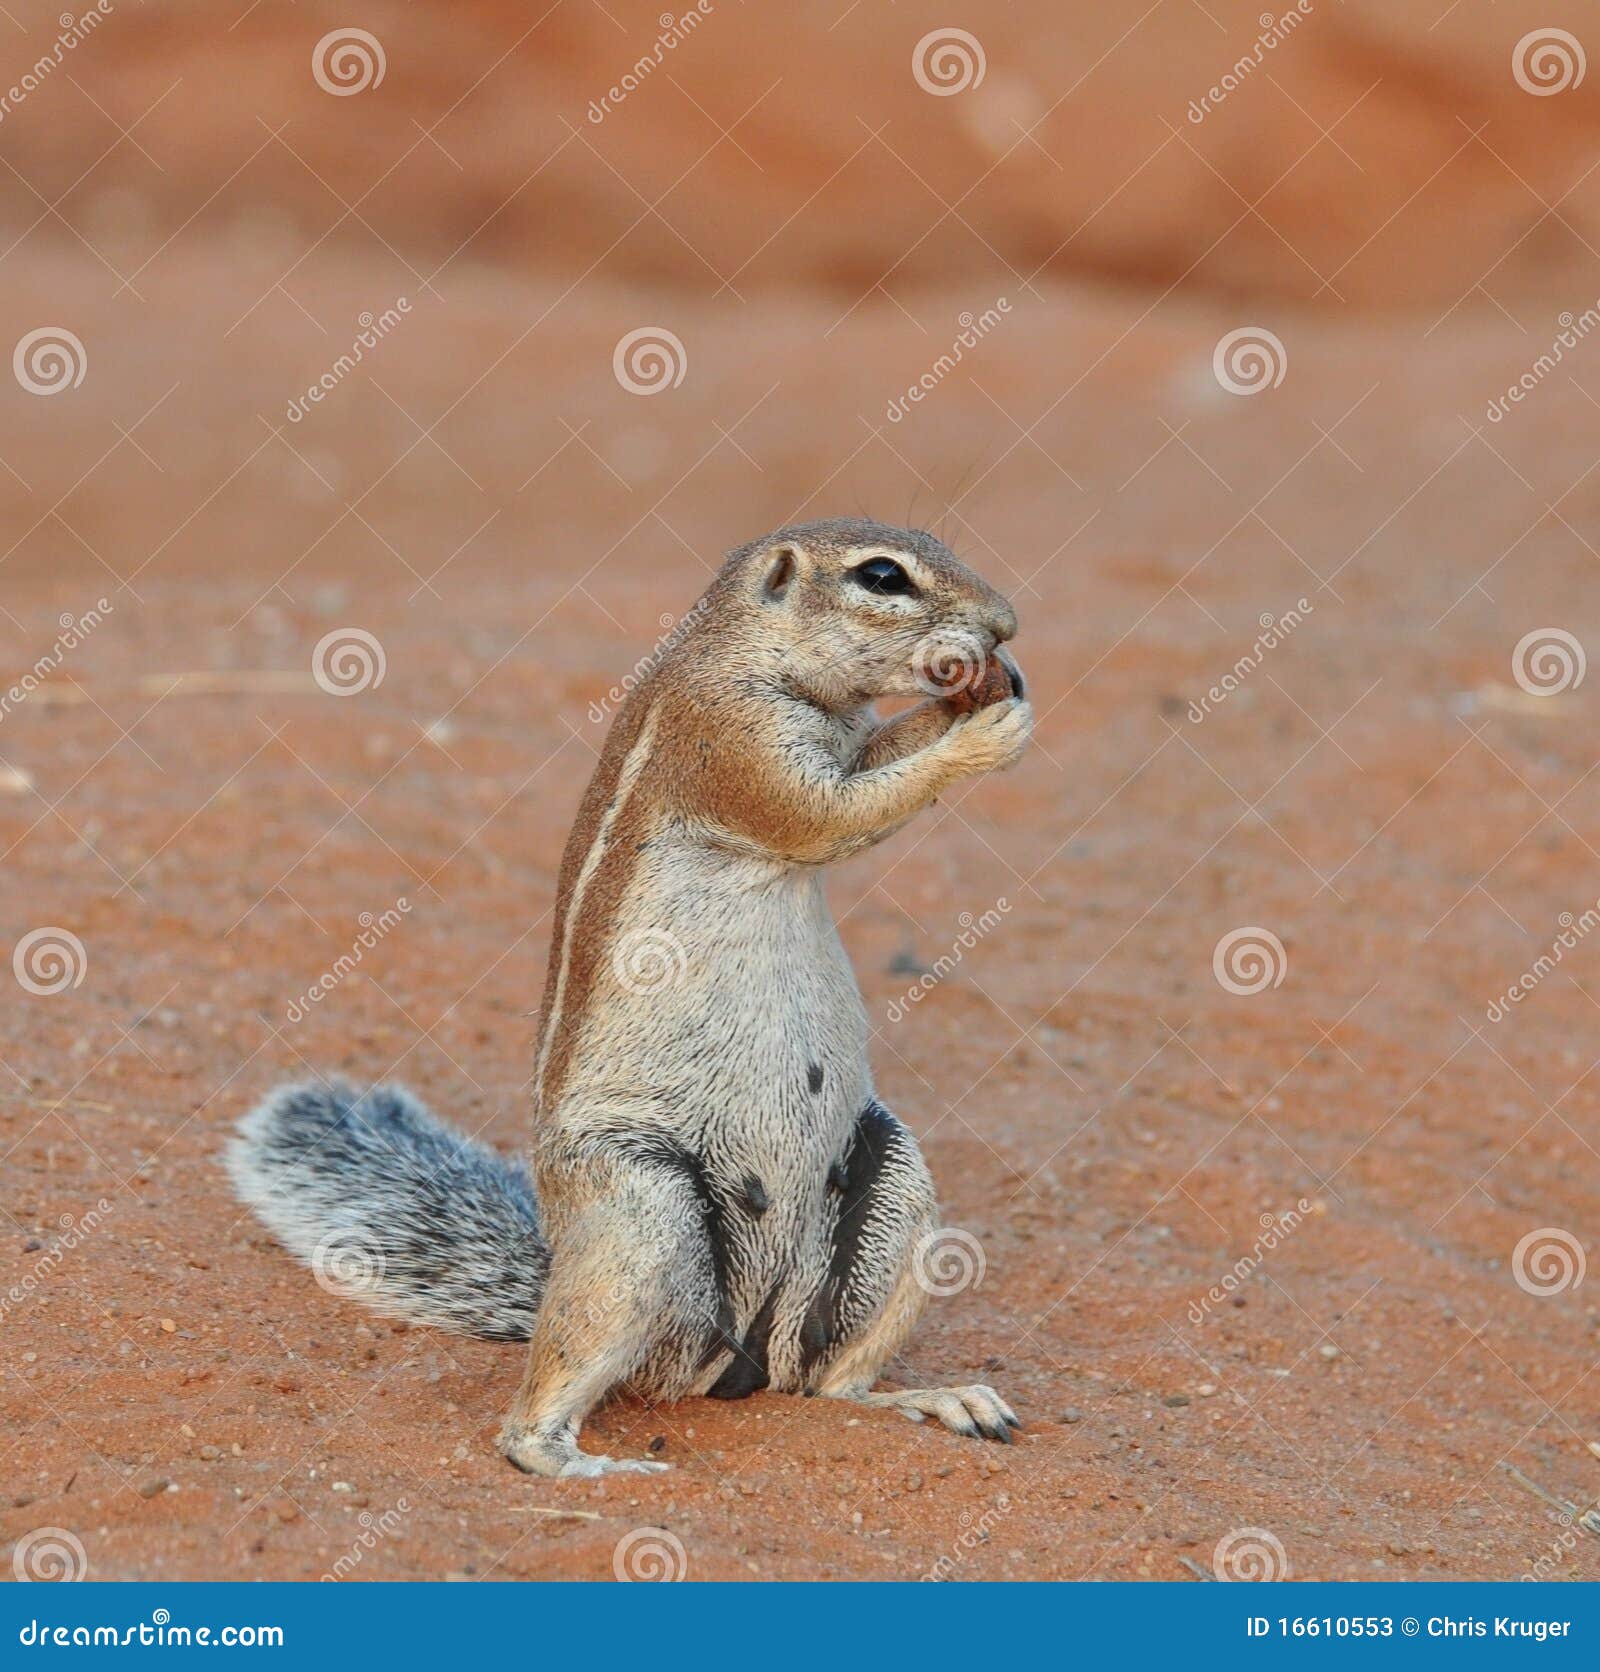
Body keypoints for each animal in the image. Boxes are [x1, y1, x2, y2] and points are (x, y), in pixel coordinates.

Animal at [228, 517, 1033, 1478]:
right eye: (883, 577)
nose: (1006, 624)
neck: (741, 650)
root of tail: (722, 1358)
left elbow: (873, 765)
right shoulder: (730, 740)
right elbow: (829, 814)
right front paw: (987, 728)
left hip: (889, 1185)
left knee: (826, 1385)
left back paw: (933, 1398)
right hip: (639, 1209)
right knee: (534, 1416)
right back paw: (584, 1463)